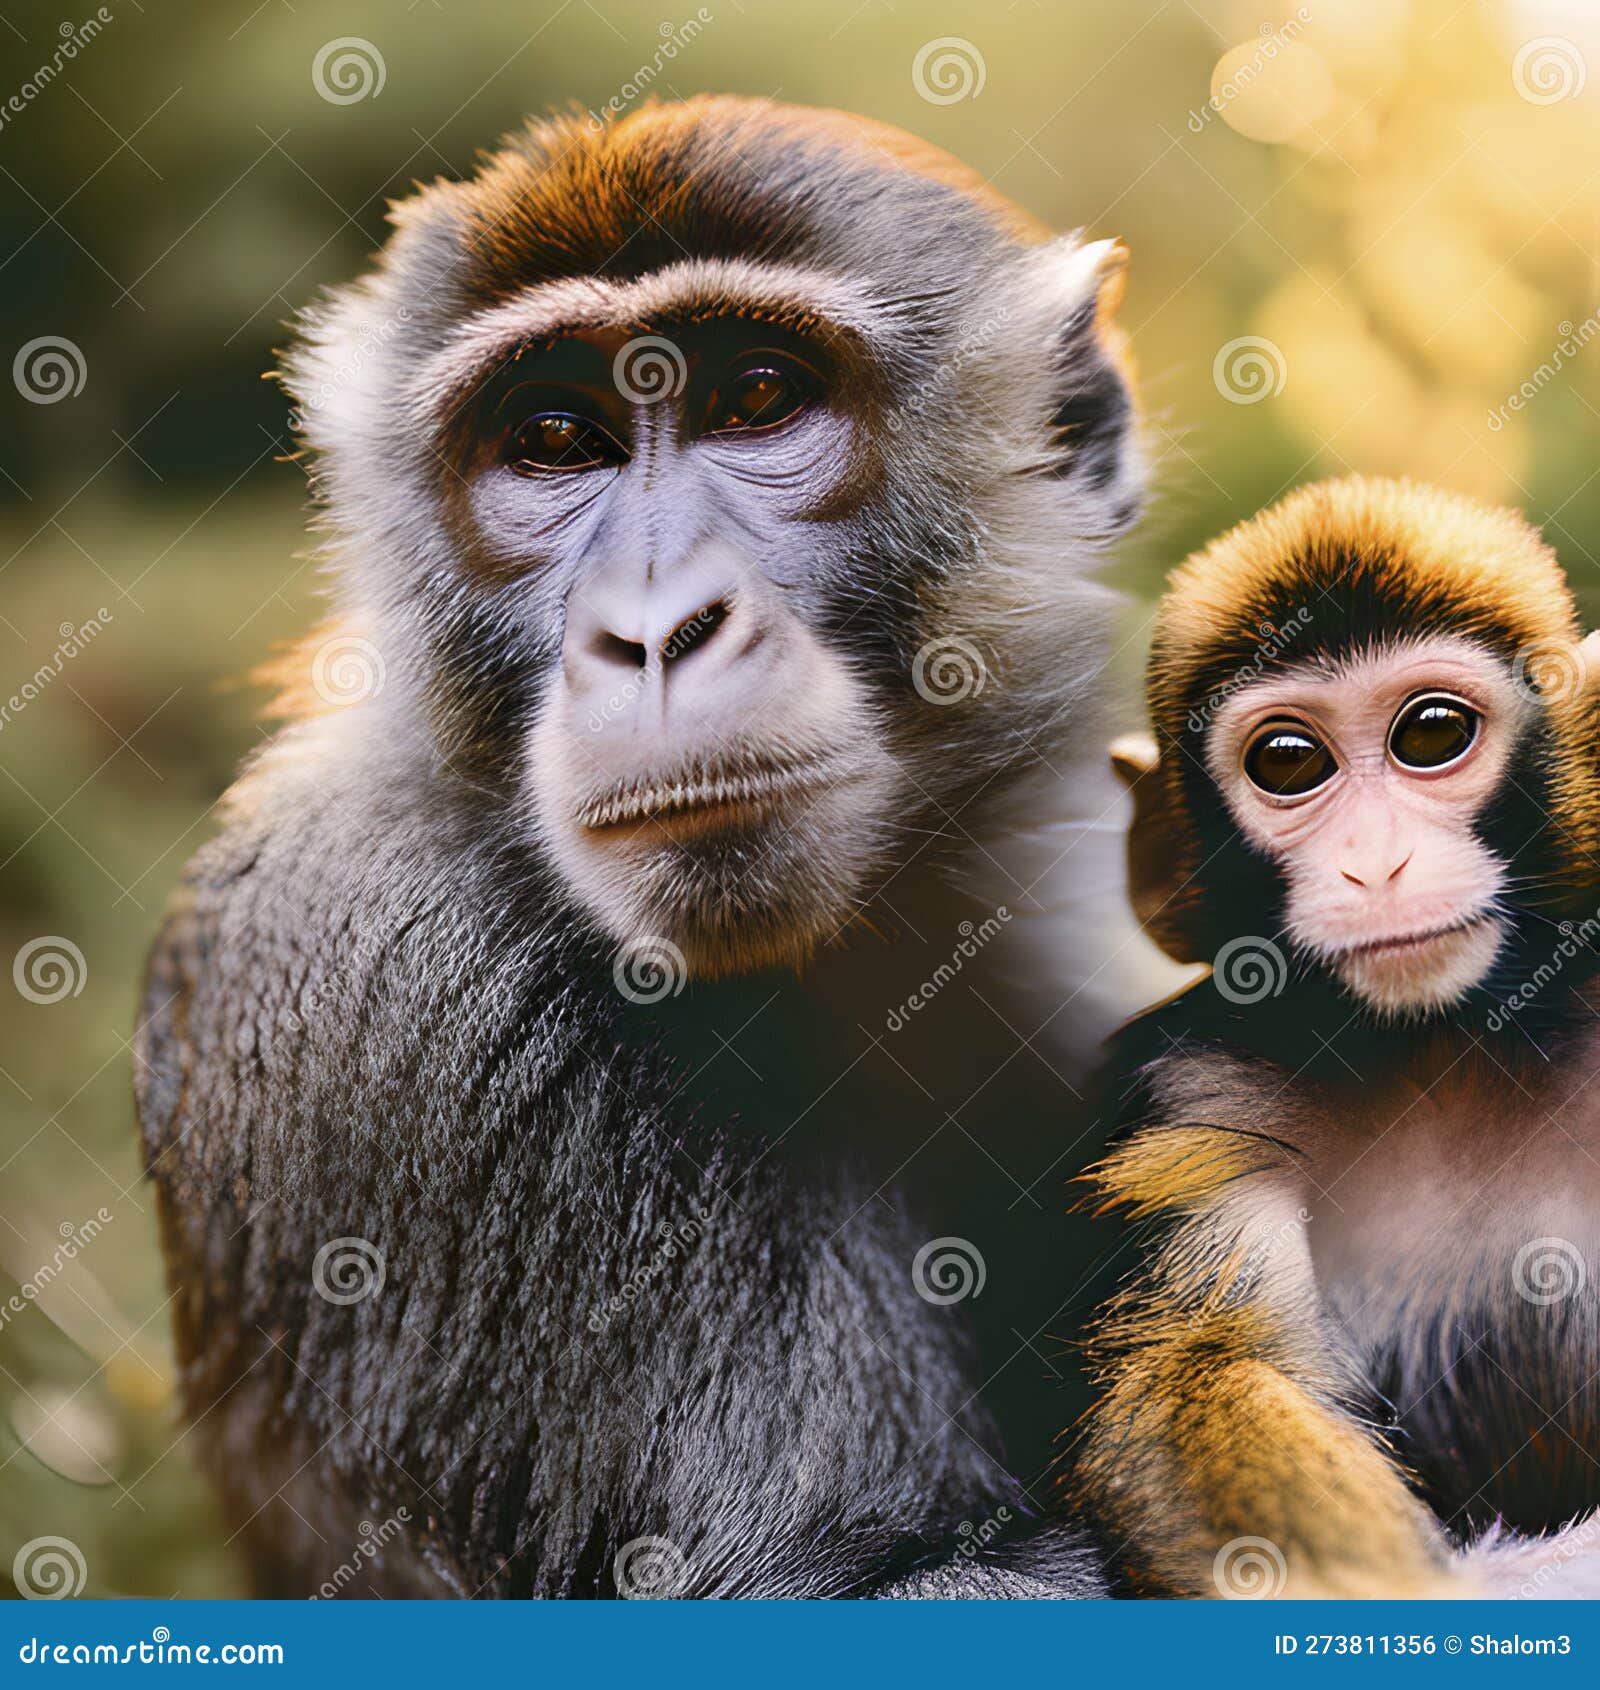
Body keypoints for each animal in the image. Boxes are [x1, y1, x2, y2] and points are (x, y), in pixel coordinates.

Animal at [1072, 474, 1600, 1599]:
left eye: (1431, 734)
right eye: (1287, 762)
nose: (1375, 863)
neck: (1448, 1045)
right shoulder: (1200, 1087)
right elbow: (1206, 1364)